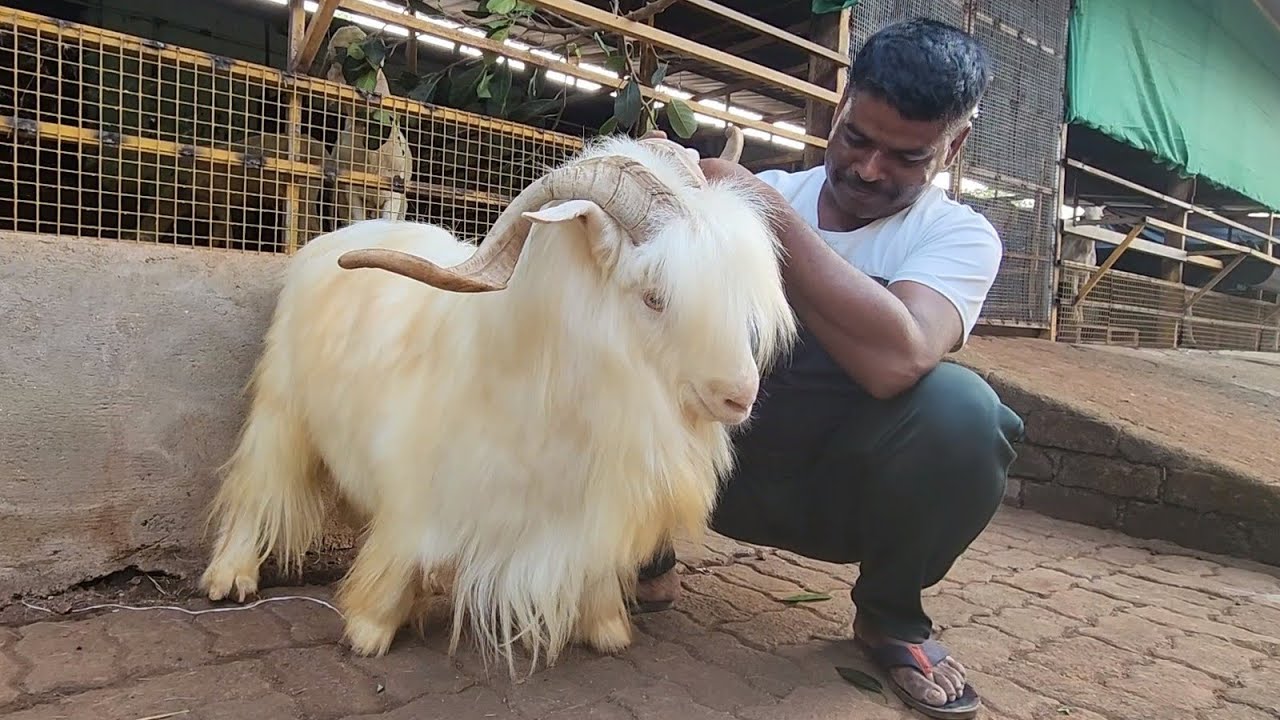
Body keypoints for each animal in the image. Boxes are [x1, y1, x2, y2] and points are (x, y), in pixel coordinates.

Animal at [198, 125, 796, 676]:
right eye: (654, 297)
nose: (739, 395)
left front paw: (607, 628)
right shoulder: (419, 488)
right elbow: (397, 555)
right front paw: (369, 629)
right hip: (282, 405)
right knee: (258, 483)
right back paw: (231, 577)